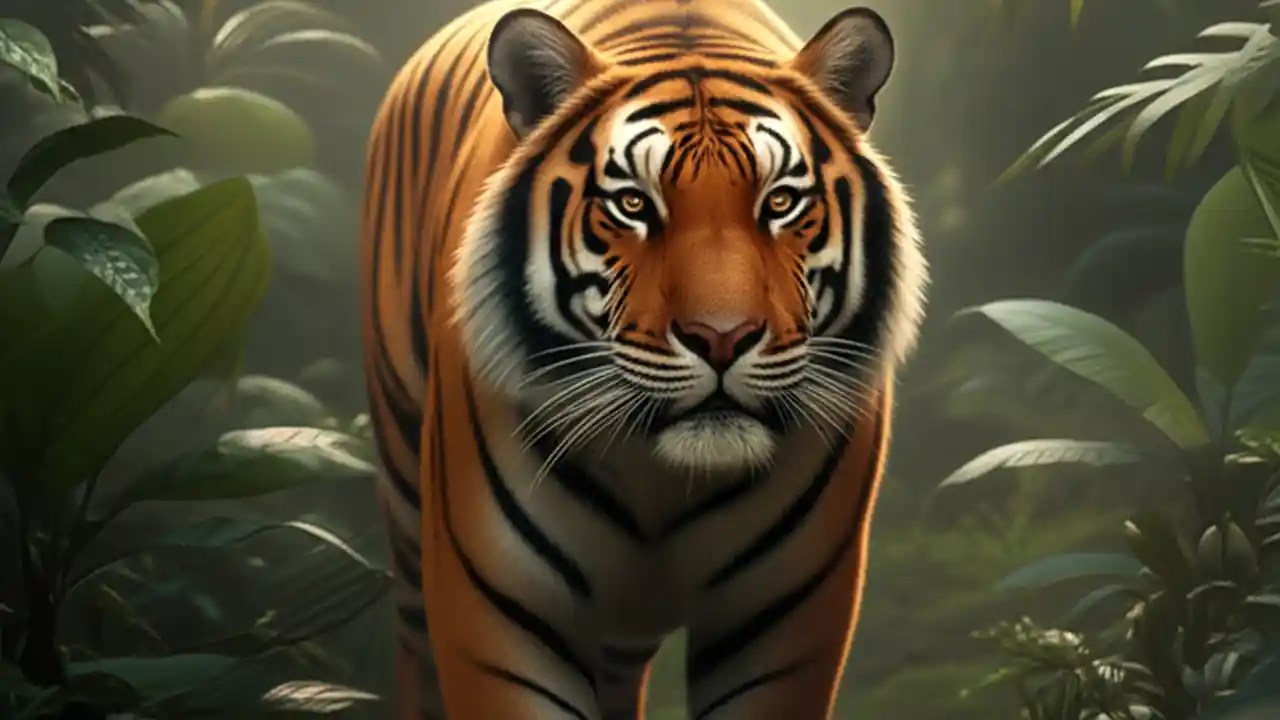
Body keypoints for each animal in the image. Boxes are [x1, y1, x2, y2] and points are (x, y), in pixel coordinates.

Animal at [359, 0, 928, 717]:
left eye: (779, 202)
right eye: (633, 204)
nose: (722, 337)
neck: (660, 477)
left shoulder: (785, 618)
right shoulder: (501, 608)